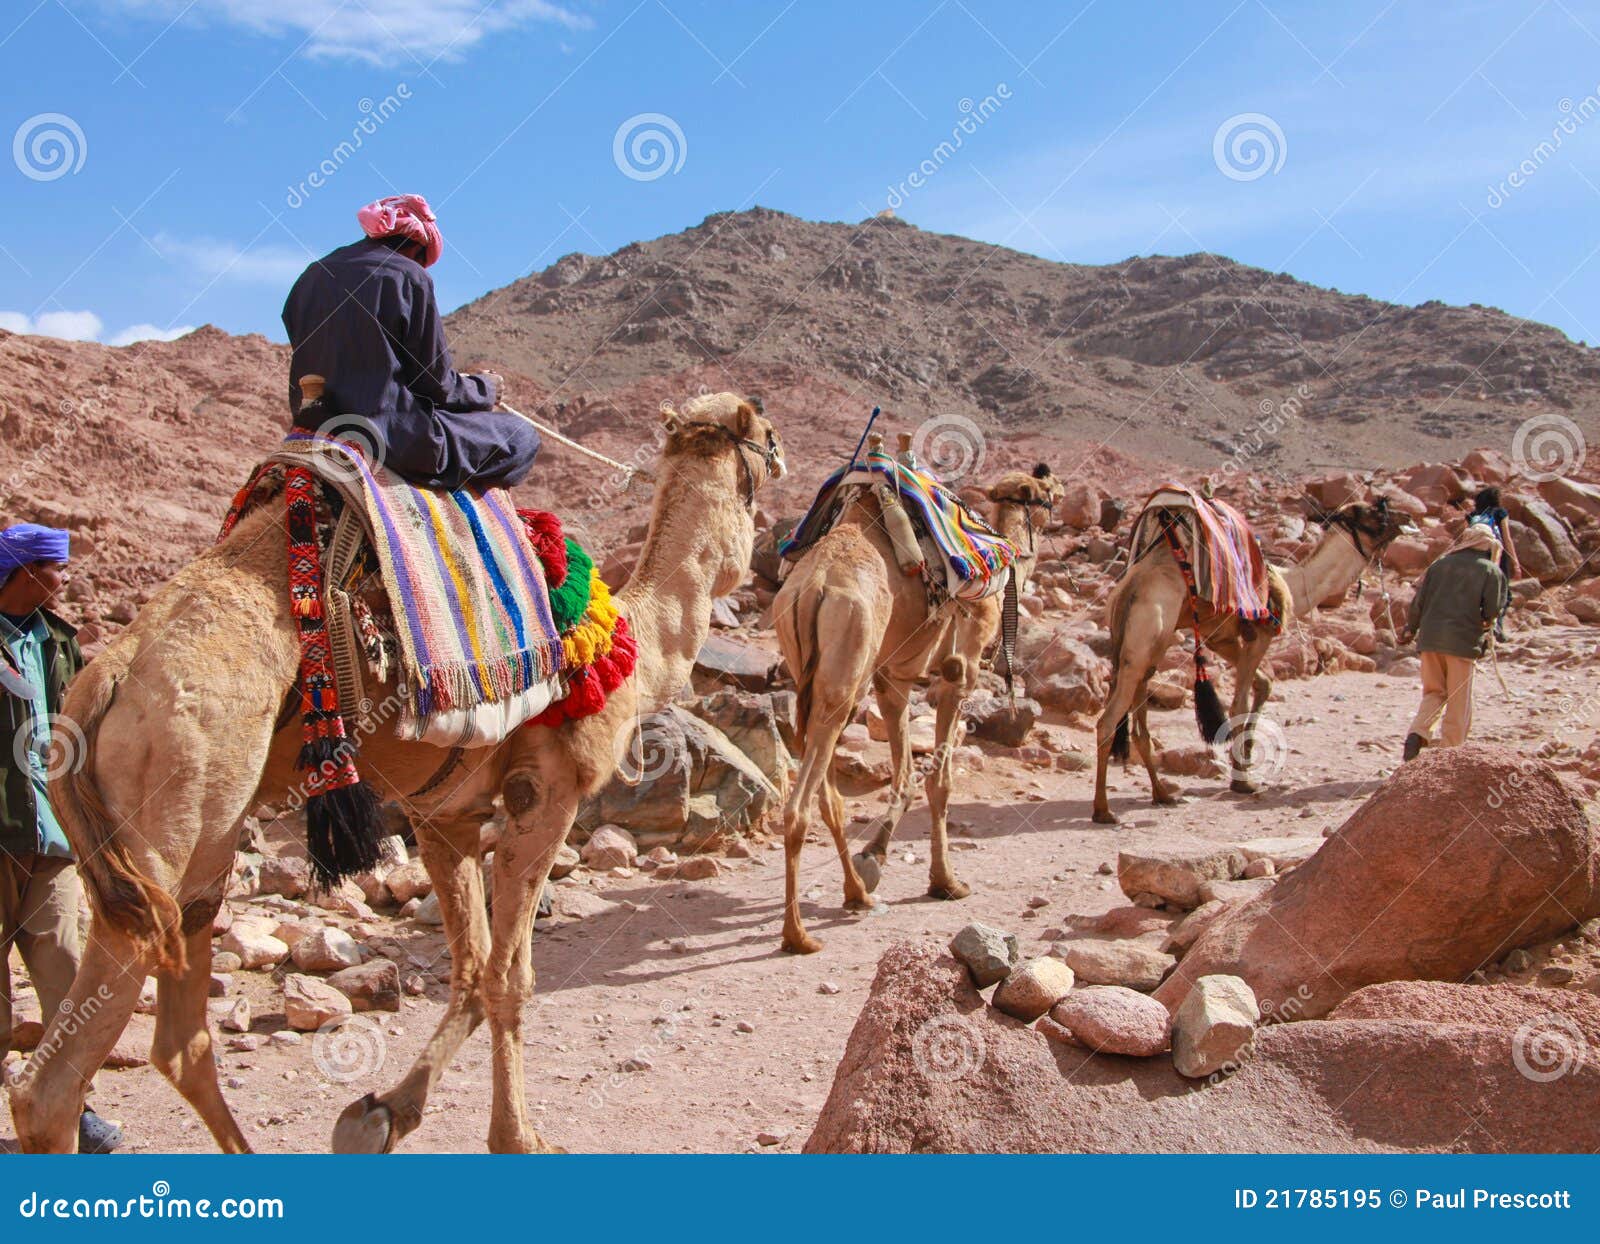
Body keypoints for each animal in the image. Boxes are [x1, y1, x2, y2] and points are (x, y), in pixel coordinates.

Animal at [7, 393, 784, 1154]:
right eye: (767, 437)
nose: (783, 466)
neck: (633, 644)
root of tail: (102, 679)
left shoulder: (446, 816)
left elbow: (471, 971)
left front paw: (379, 1114)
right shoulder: (546, 793)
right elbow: (511, 976)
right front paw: (518, 1137)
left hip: (189, 850)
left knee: (180, 1040)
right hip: (174, 811)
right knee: (50, 1088)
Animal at [774, 458, 1063, 954]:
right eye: (1045, 494)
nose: (1058, 492)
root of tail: (813, 589)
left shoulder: (894, 677)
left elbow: (905, 774)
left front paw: (875, 856)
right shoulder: (959, 671)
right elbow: (940, 780)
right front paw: (946, 881)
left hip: (817, 679)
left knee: (829, 795)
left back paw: (857, 892)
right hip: (846, 670)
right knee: (800, 807)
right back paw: (799, 934)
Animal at [1090, 498, 1409, 824]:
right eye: (1377, 513)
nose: (1406, 517)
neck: (1291, 585)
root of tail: (1129, 589)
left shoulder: (1222, 639)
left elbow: (1264, 684)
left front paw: (1244, 761)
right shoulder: (1260, 635)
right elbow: (1239, 704)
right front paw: (1242, 781)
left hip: (1145, 645)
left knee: (1139, 723)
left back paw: (1162, 794)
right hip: (1147, 636)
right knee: (1107, 721)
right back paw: (1104, 810)